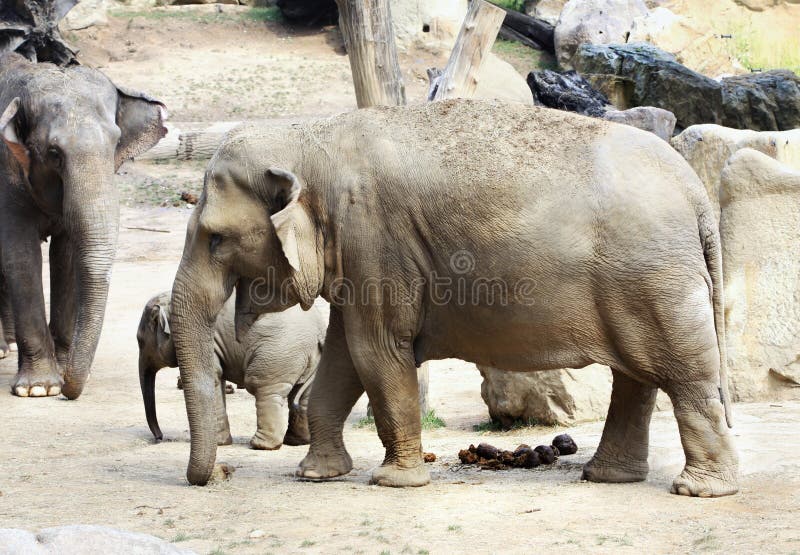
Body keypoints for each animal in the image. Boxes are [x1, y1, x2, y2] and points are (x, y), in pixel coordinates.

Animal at [0, 52, 166, 398]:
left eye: (116, 143)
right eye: (53, 152)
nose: (68, 388)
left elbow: (67, 255)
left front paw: (63, 371)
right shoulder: (5, 171)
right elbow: (21, 255)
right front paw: (38, 389)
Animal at [138, 291, 327, 450]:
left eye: (140, 341)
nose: (160, 437)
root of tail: (319, 330)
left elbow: (212, 377)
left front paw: (218, 443)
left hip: (278, 351)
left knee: (262, 388)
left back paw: (261, 445)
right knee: (303, 395)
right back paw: (296, 441)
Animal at [168, 99, 738, 497]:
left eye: (215, 239)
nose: (222, 472)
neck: (311, 137)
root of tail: (694, 189)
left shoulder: (375, 241)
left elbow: (377, 353)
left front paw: (393, 483)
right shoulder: (357, 258)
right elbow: (343, 360)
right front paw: (316, 475)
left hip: (652, 277)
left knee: (683, 374)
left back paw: (699, 490)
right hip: (641, 279)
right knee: (637, 376)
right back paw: (609, 477)